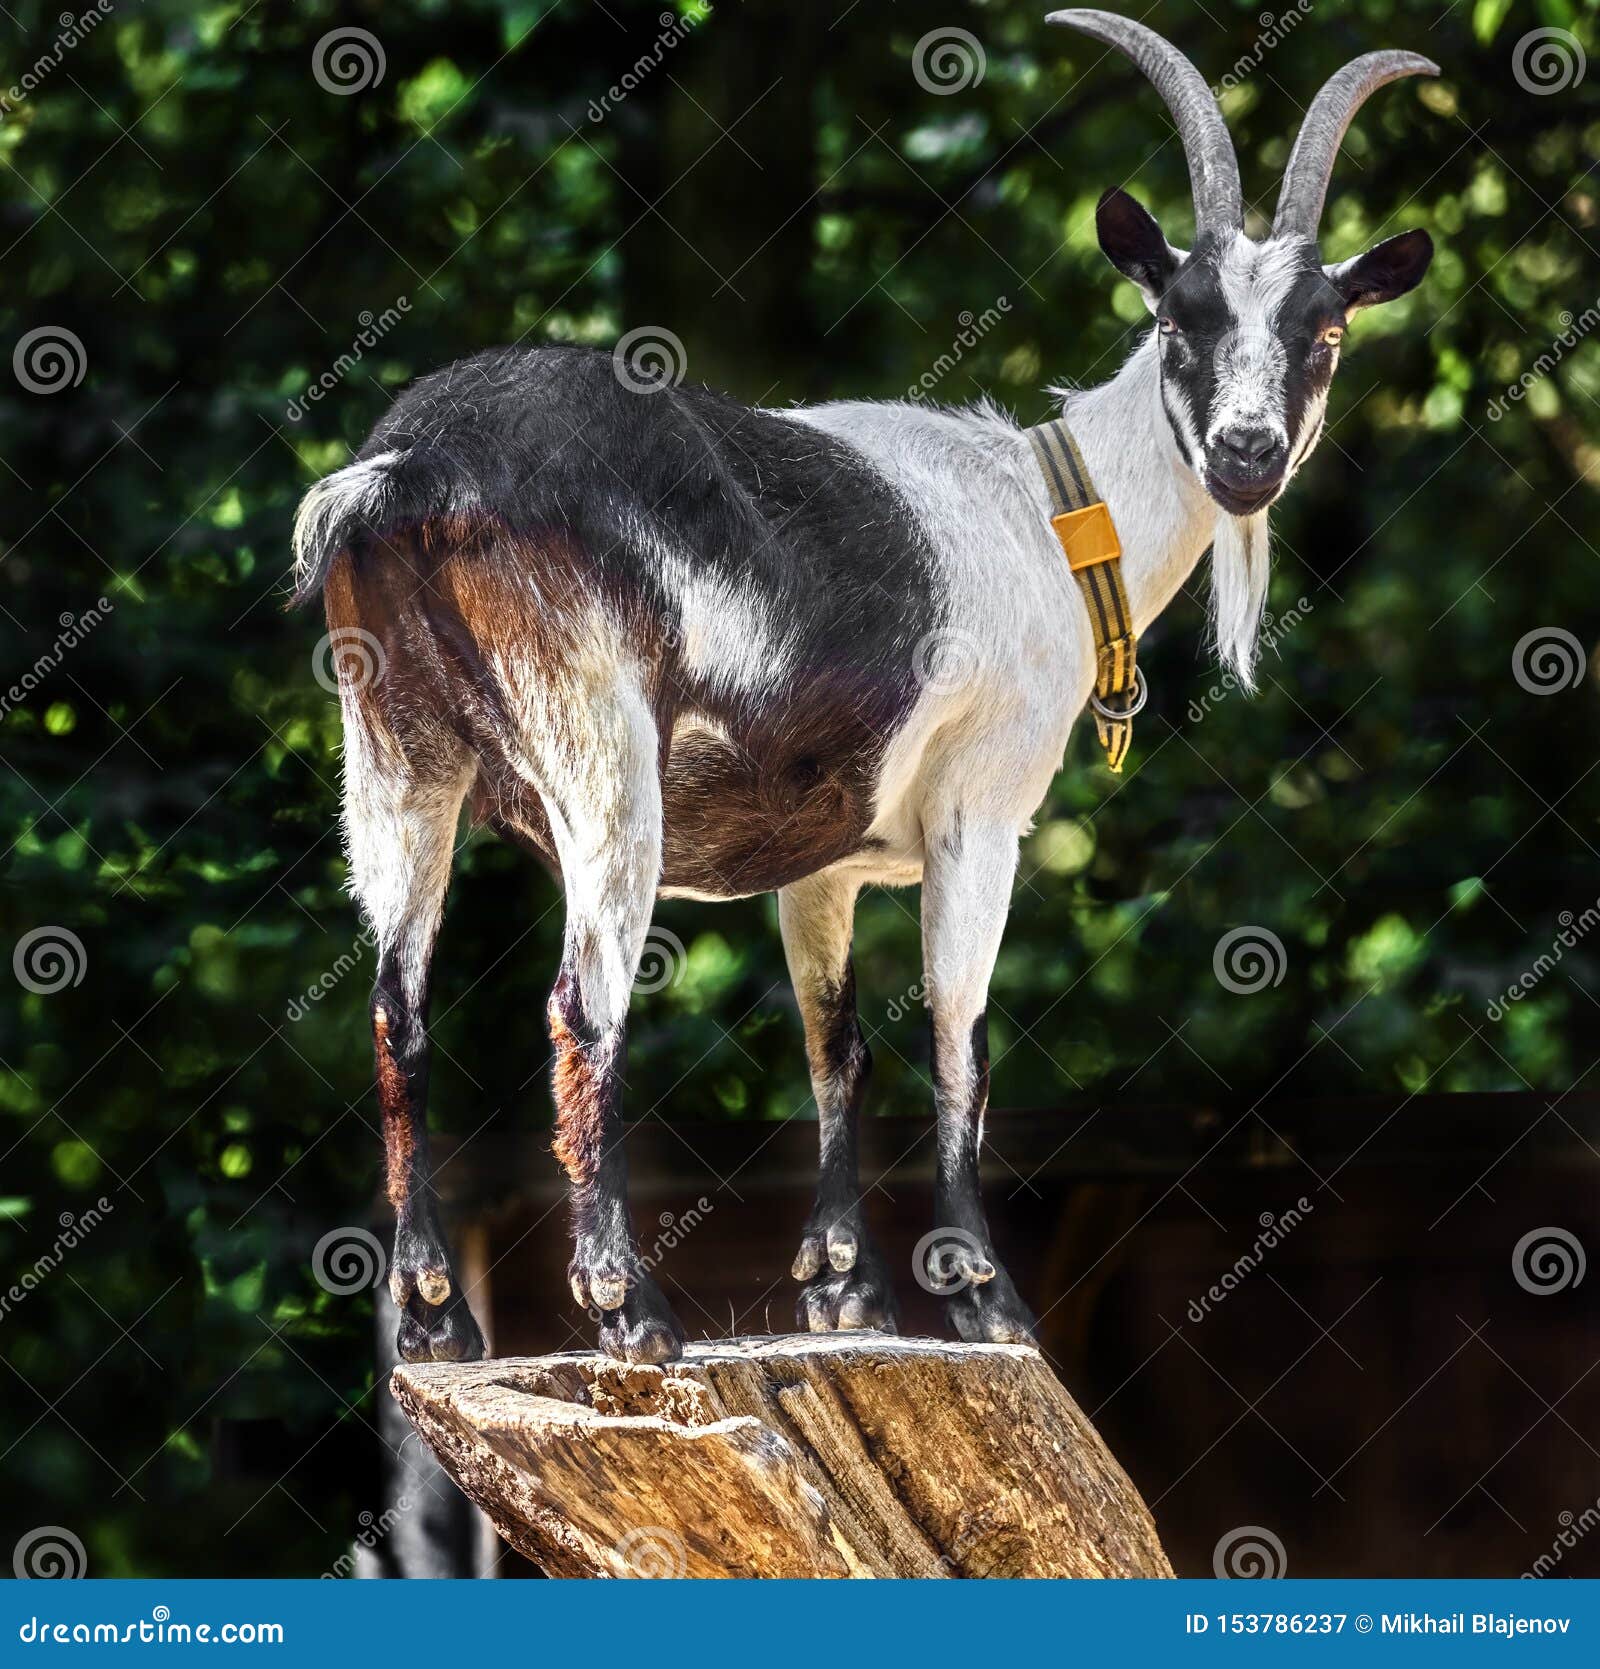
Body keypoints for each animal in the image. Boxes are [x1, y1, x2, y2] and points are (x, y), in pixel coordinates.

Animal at [291, 10, 1436, 1365]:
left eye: (1325, 332)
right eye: (1178, 322)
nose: (1246, 455)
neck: (1054, 513)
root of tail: (407, 469)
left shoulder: (822, 857)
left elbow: (835, 1043)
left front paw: (843, 1287)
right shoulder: (981, 810)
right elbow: (958, 1032)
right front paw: (982, 1297)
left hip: (398, 749)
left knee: (395, 1004)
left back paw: (431, 1318)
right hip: (599, 744)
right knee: (582, 1003)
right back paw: (630, 1307)